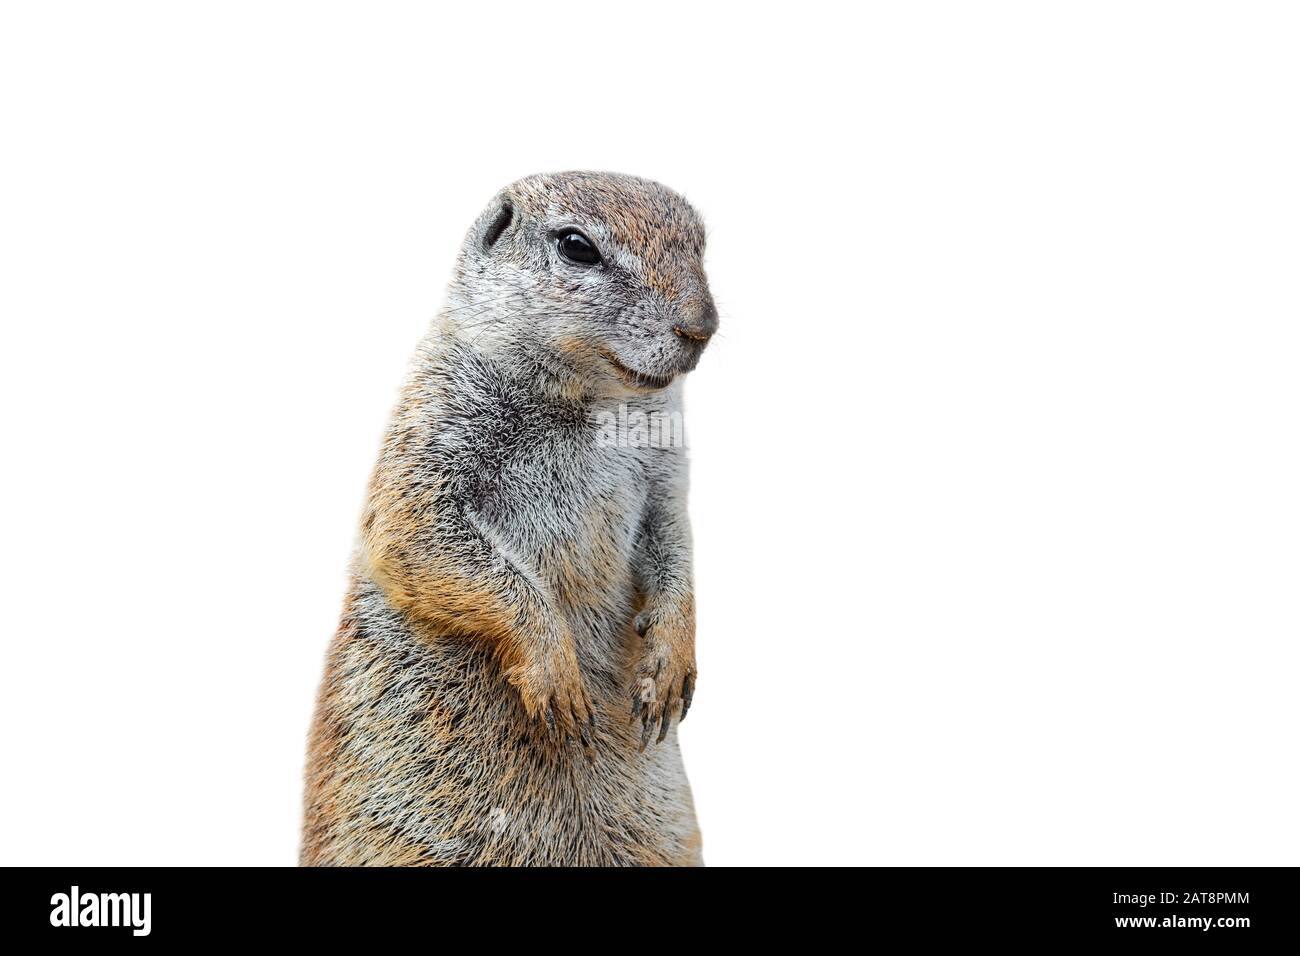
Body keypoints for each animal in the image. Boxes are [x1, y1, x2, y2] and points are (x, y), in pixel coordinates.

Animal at [301, 172, 718, 866]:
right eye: (577, 247)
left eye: (702, 243)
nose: (703, 325)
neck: (590, 401)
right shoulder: (432, 424)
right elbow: (419, 532)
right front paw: (556, 676)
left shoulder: (667, 472)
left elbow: (674, 542)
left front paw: (670, 666)